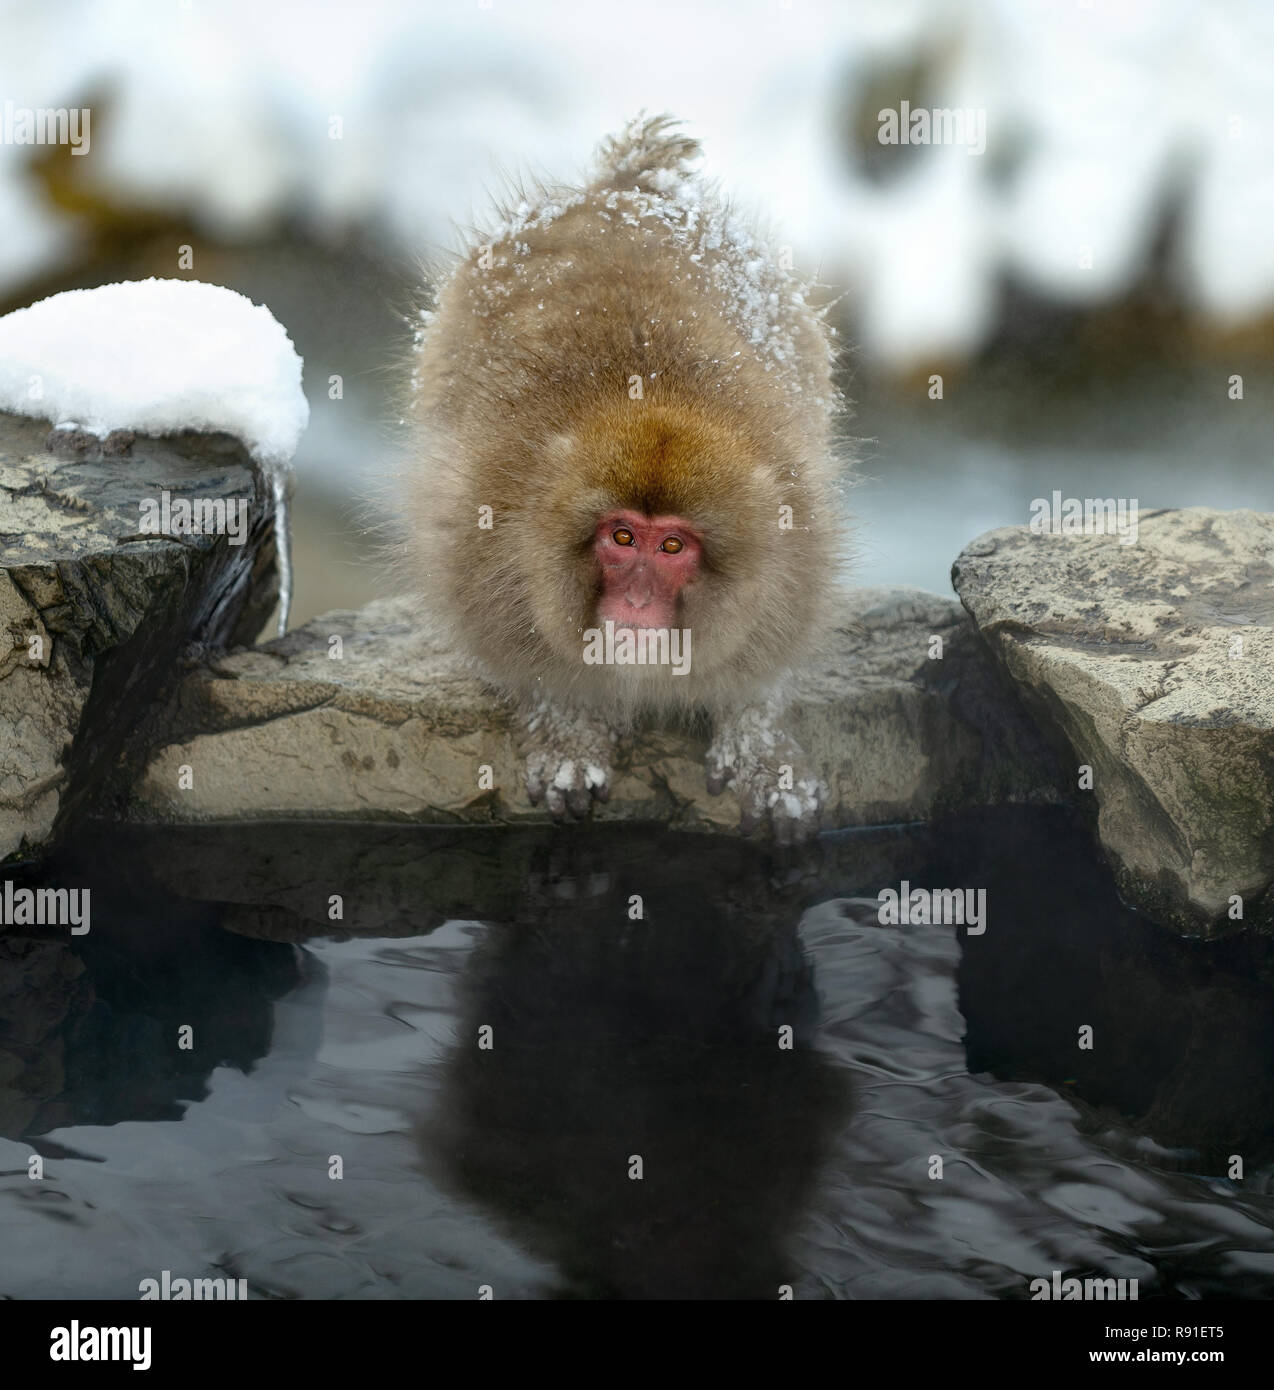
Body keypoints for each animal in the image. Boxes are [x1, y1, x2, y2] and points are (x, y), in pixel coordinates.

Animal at [399, 114, 847, 843]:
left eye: (673, 546)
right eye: (621, 538)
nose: (636, 601)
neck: (651, 400)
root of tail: (622, 193)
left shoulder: (795, 547)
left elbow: (765, 654)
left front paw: (757, 741)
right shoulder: (482, 542)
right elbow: (523, 654)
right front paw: (569, 730)